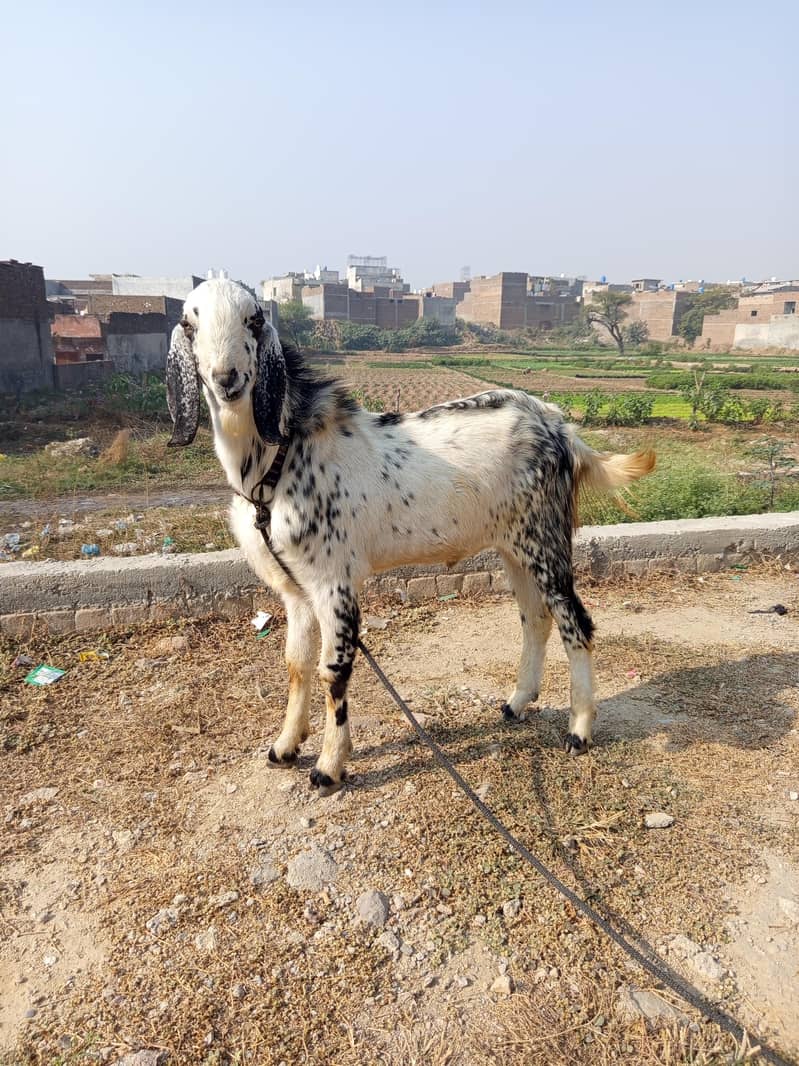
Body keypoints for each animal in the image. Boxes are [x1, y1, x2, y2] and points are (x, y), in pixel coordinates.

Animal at [167, 278, 655, 795]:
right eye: (189, 323)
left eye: (255, 319)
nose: (227, 378)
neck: (283, 455)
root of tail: (562, 427)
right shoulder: (295, 590)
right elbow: (296, 665)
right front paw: (284, 746)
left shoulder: (334, 582)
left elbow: (332, 670)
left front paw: (329, 766)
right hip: (513, 547)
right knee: (535, 619)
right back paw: (517, 702)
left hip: (546, 539)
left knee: (574, 621)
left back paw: (579, 729)